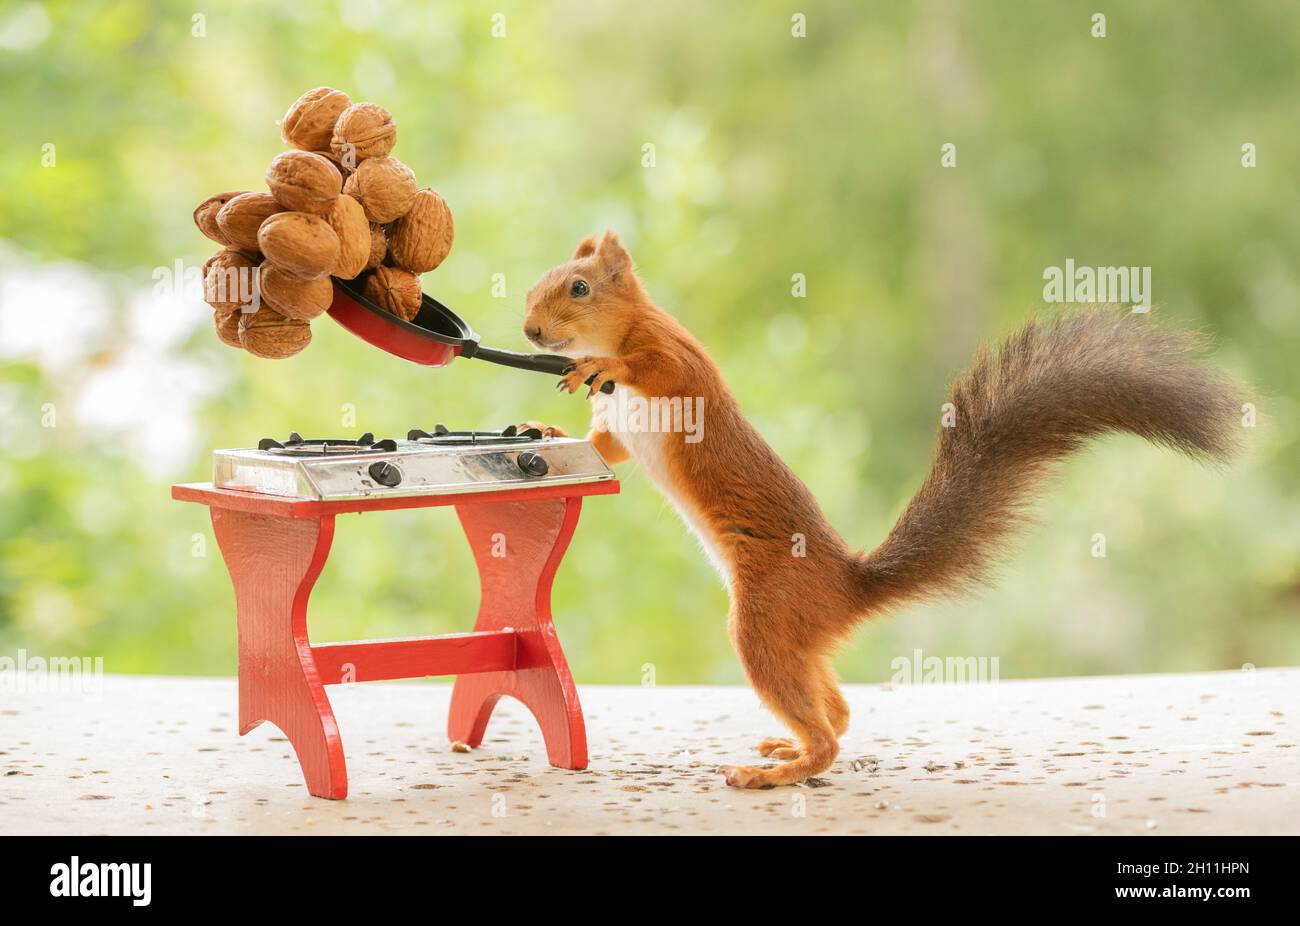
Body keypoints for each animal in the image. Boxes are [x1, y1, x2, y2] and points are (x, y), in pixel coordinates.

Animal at [520, 230, 1243, 789]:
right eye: (538, 284)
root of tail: (848, 587)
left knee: (830, 737)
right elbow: (605, 446)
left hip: (763, 623)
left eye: (579, 288)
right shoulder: (617, 428)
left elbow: (654, 369)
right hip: (795, 639)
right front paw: (549, 432)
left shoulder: (678, 359)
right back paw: (788, 748)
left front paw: (597, 364)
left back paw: (779, 771)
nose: (528, 329)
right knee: (837, 713)